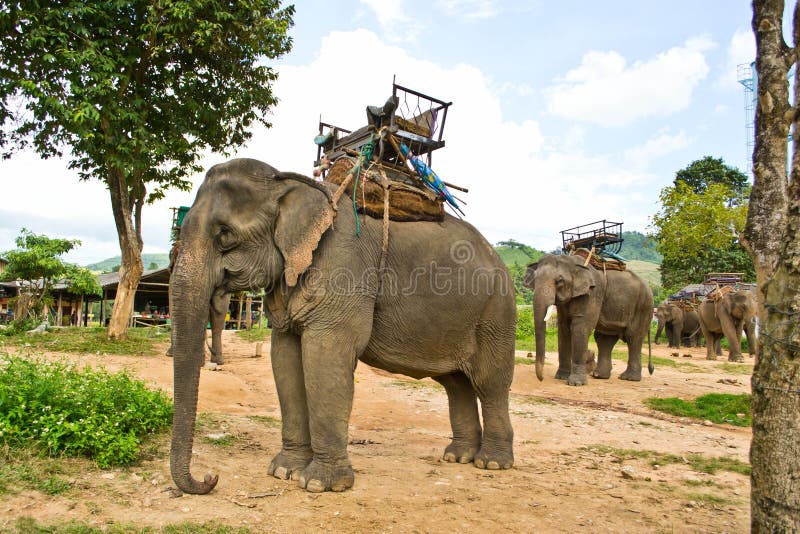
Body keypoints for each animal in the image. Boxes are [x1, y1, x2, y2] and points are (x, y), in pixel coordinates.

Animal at [169, 158, 516, 495]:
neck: (288, 183)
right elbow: (284, 358)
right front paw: (284, 472)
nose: (210, 477)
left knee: (489, 383)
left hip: (496, 312)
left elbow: (325, 359)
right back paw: (458, 457)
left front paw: (320, 484)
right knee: (455, 384)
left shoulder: (343, 266)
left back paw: (491, 463)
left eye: (224, 234)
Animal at [523, 254, 653, 386]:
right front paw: (561, 377)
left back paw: (629, 378)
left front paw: (575, 383)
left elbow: (580, 327)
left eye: (559, 281)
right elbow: (564, 328)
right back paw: (599, 375)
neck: (573, 262)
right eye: (534, 280)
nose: (541, 379)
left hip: (643, 306)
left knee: (633, 337)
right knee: (605, 339)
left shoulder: (591, 294)